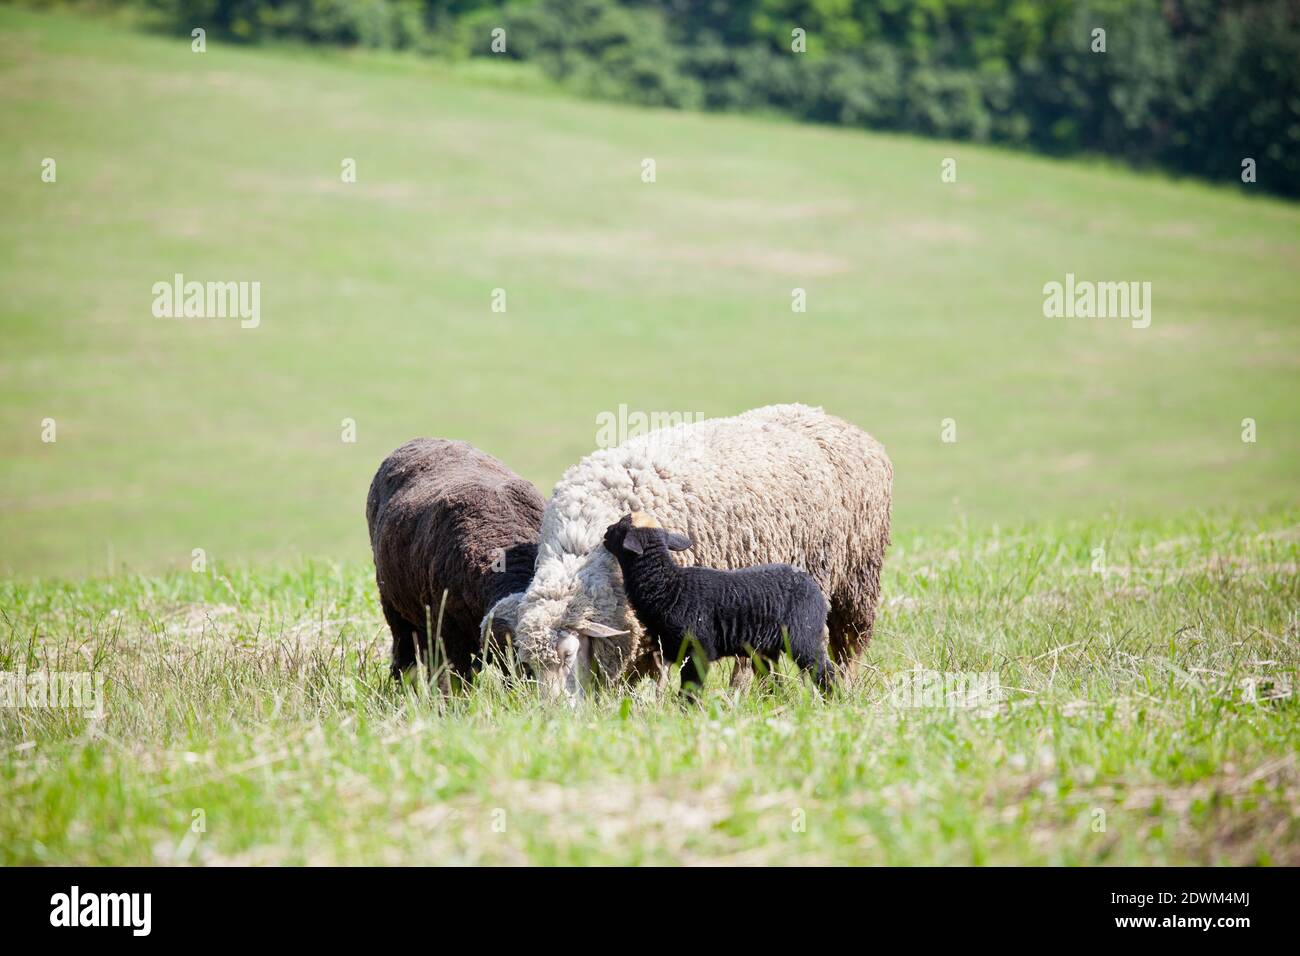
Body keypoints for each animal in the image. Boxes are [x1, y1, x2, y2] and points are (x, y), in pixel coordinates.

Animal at [603, 512, 834, 693]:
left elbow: (690, 690)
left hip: (804, 637)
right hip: (766, 649)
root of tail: (812, 584)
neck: (669, 586)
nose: (605, 531)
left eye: (621, 525)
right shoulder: (669, 651)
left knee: (825, 671)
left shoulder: (699, 651)